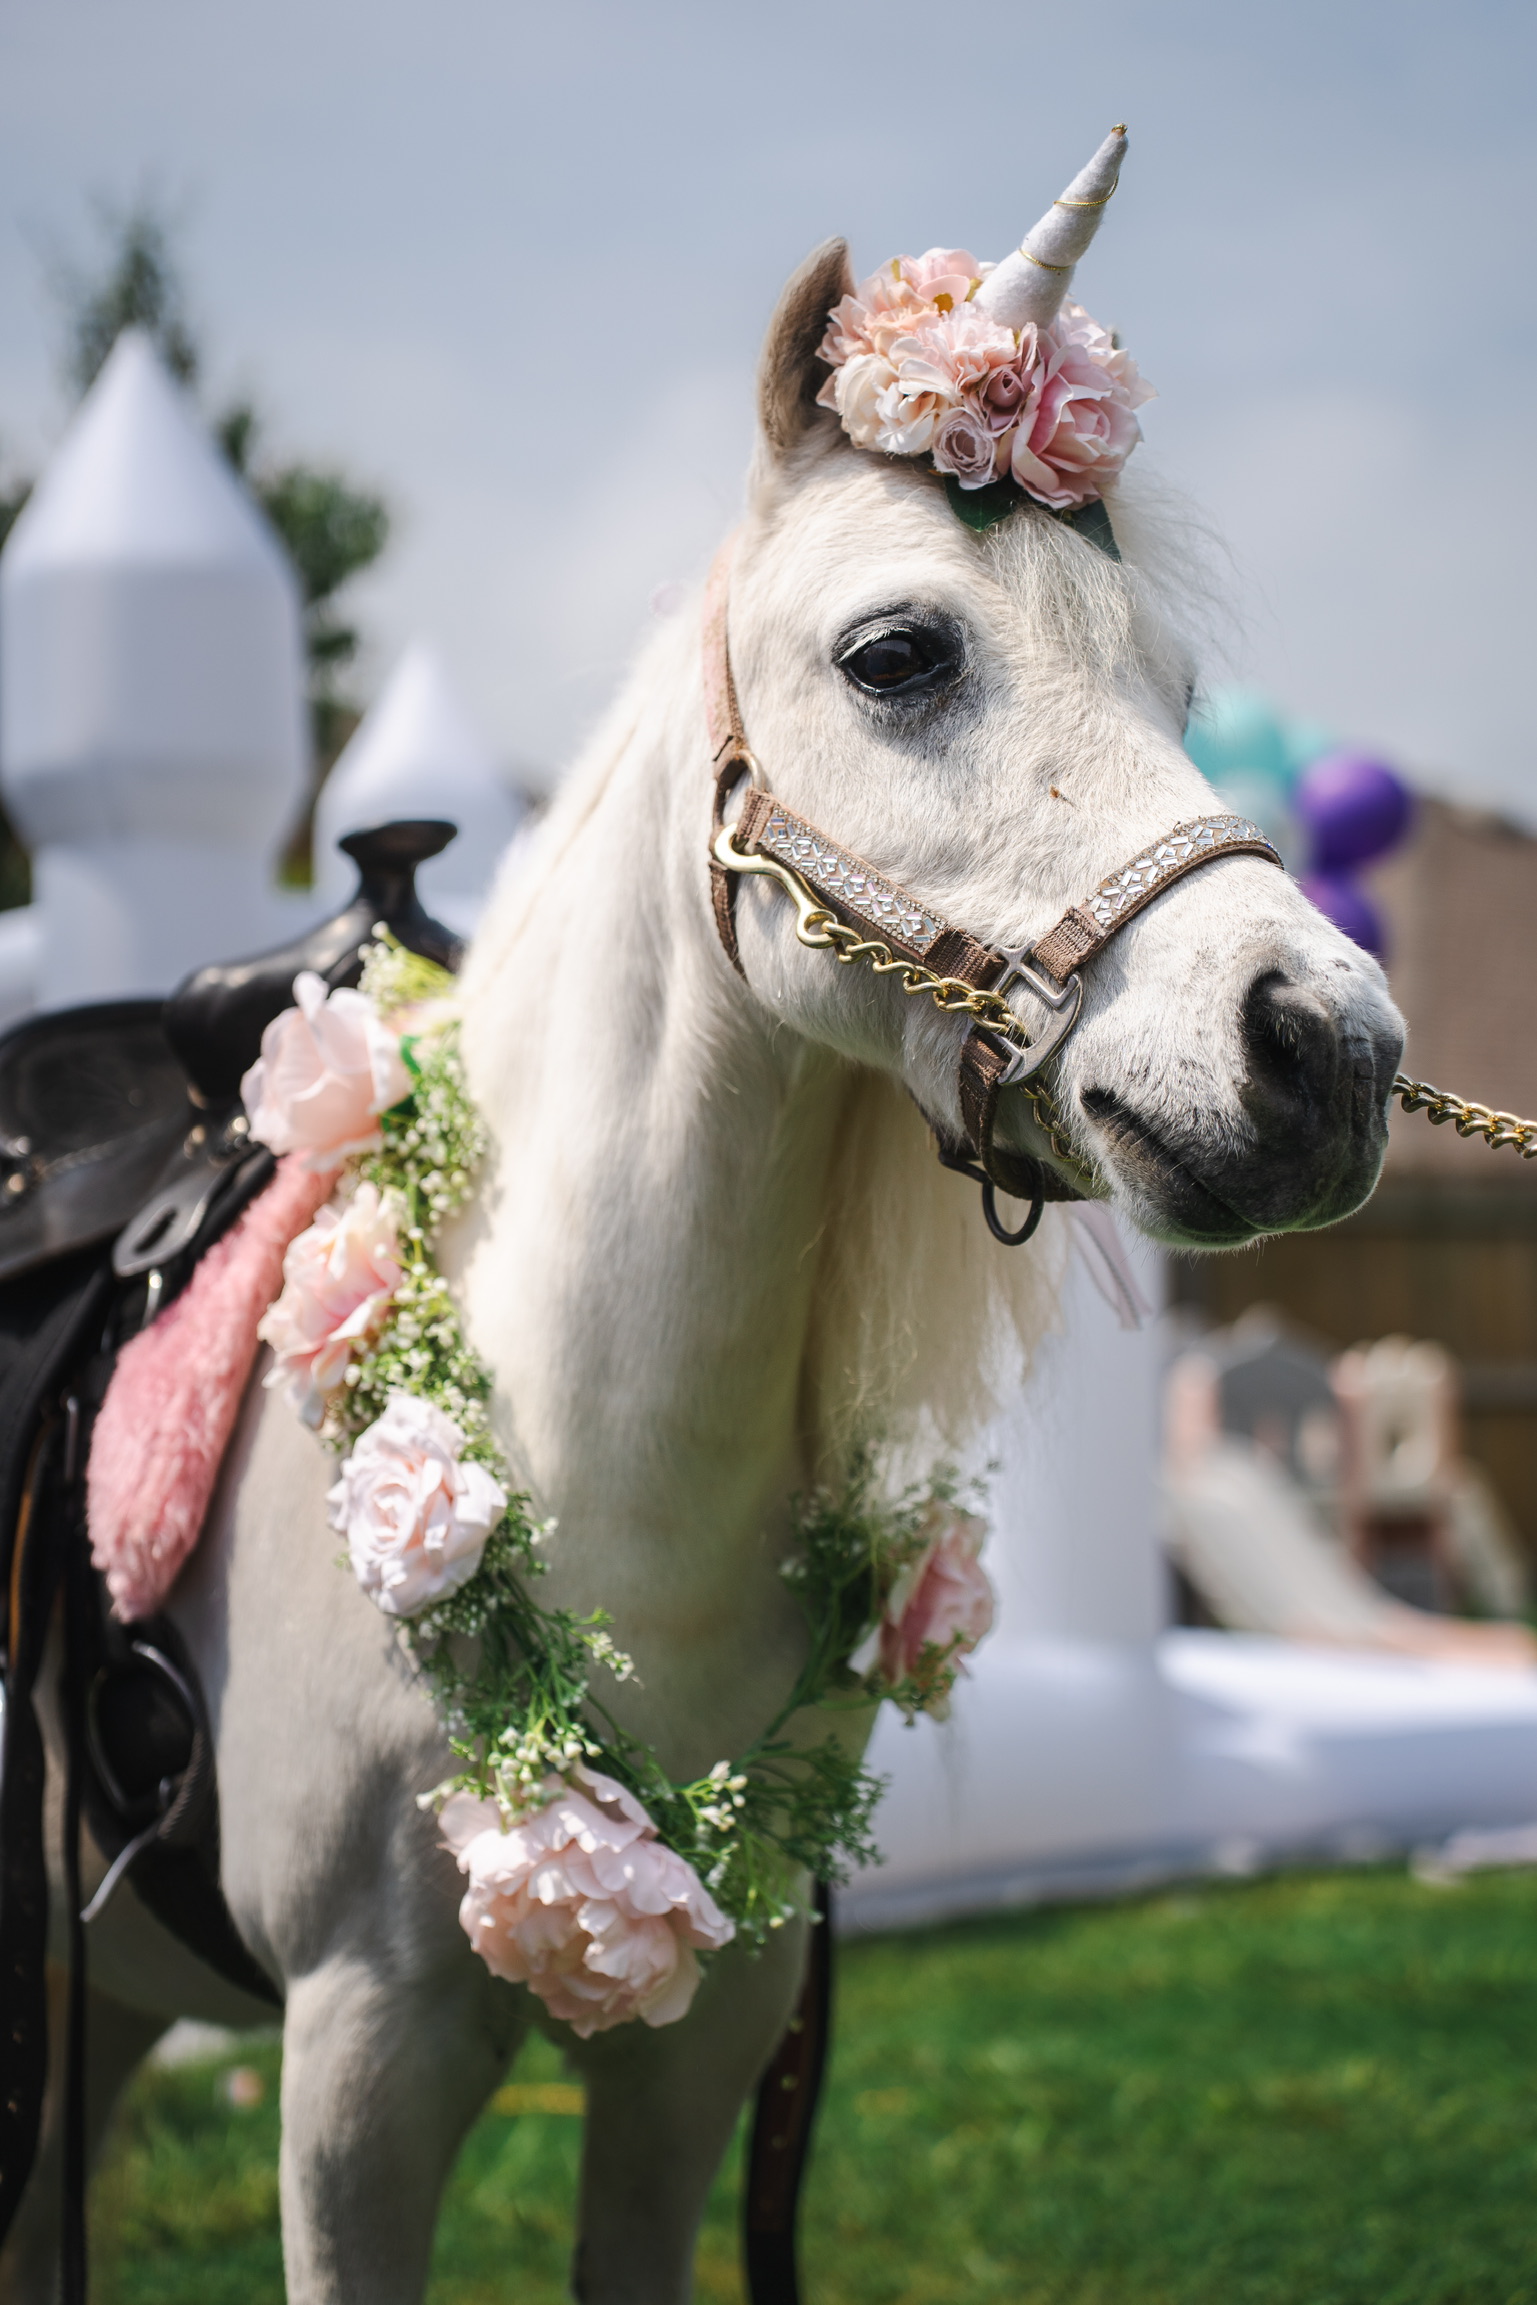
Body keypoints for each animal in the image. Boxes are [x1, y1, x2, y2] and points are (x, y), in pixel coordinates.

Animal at [6, 203, 1404, 2303]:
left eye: (1172, 689)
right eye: (898, 653)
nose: (1326, 1052)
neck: (586, 1450)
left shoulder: (708, 2039)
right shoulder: (356, 2069)